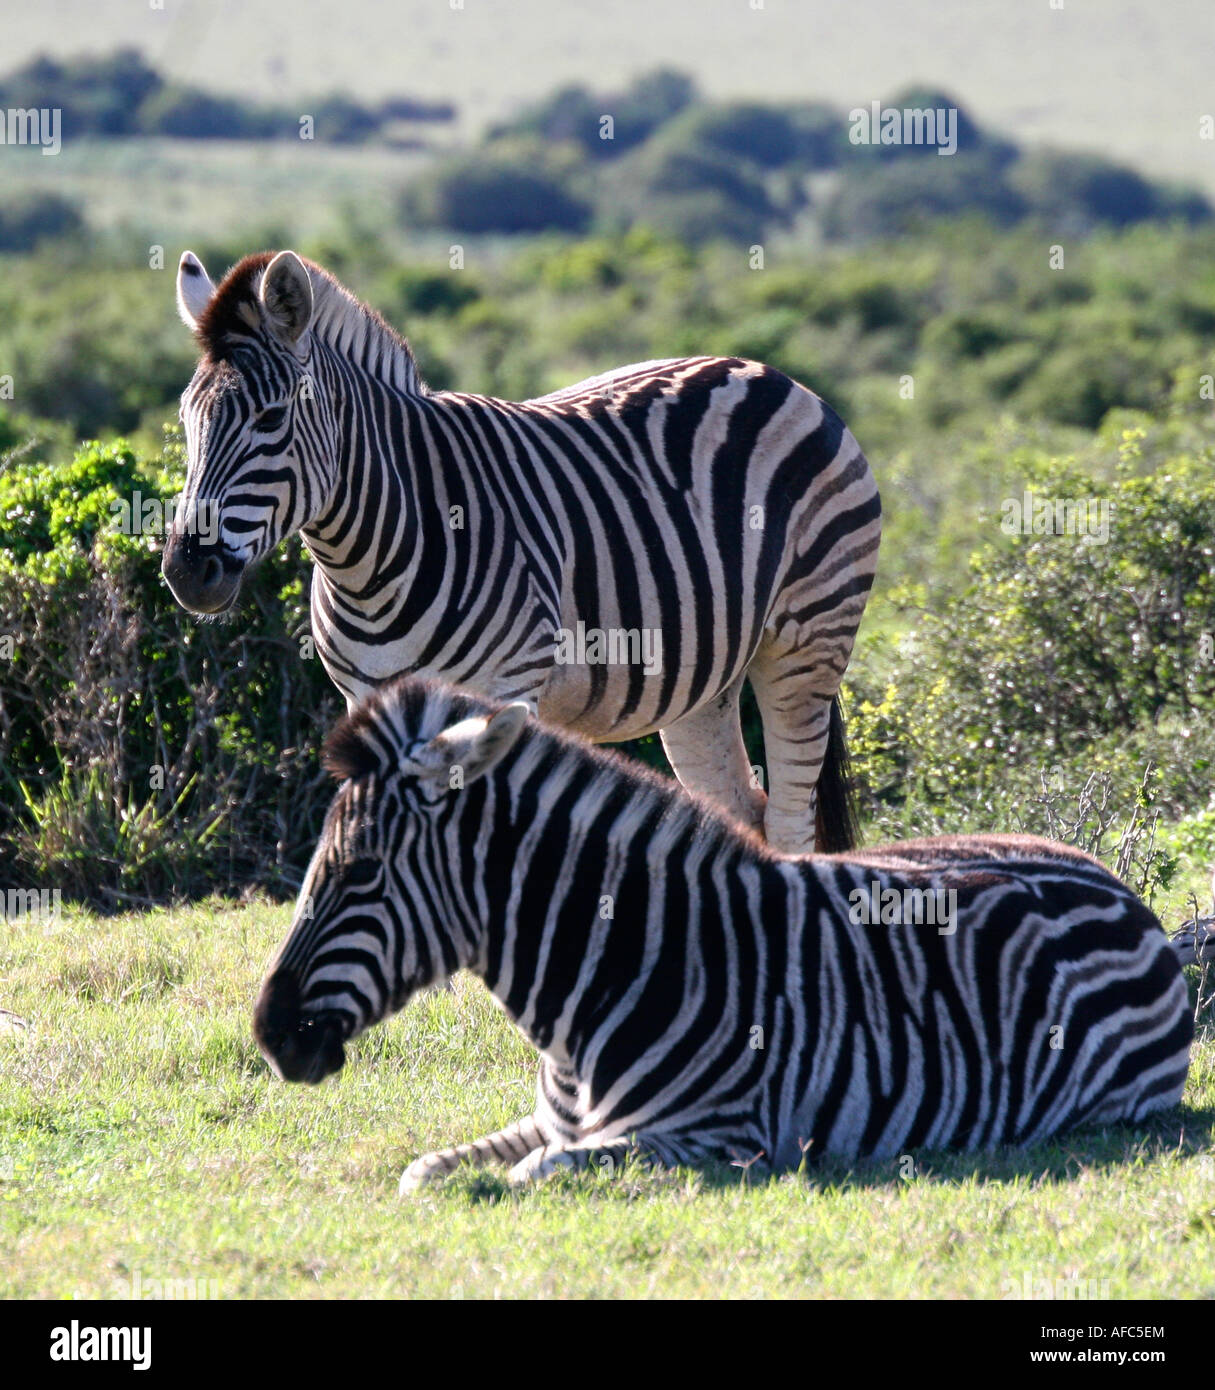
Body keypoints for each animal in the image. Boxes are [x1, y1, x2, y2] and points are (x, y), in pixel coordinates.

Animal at [164, 249, 881, 853]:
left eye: (270, 419)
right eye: (186, 422)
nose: (187, 570)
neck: (369, 560)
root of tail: (772, 374)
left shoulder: (510, 692)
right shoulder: (367, 699)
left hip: (806, 644)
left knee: (789, 821)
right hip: (707, 680)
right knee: (743, 809)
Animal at [252, 675, 1193, 1188]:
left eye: (360, 872)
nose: (270, 1035)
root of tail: (1110, 880)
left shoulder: (723, 1141)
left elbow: (534, 1171)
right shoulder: (556, 1123)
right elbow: (426, 1169)